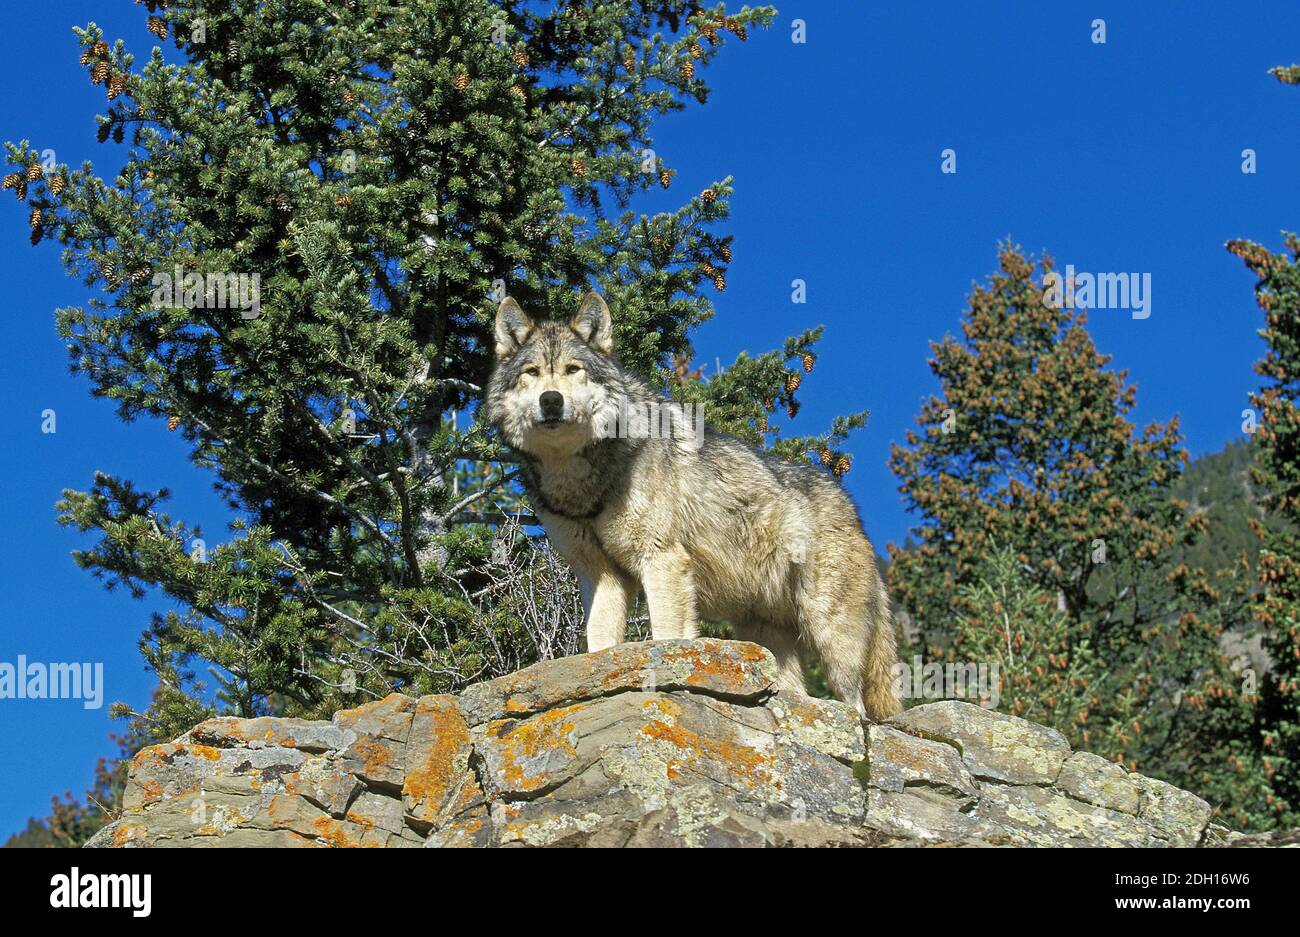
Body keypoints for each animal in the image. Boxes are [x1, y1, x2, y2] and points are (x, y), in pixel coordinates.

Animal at [485, 292, 901, 720]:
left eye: (573, 369)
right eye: (532, 373)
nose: (551, 400)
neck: (583, 479)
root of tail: (852, 509)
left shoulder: (663, 561)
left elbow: (667, 636)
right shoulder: (601, 574)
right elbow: (599, 643)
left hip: (829, 630)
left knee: (857, 706)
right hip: (767, 634)